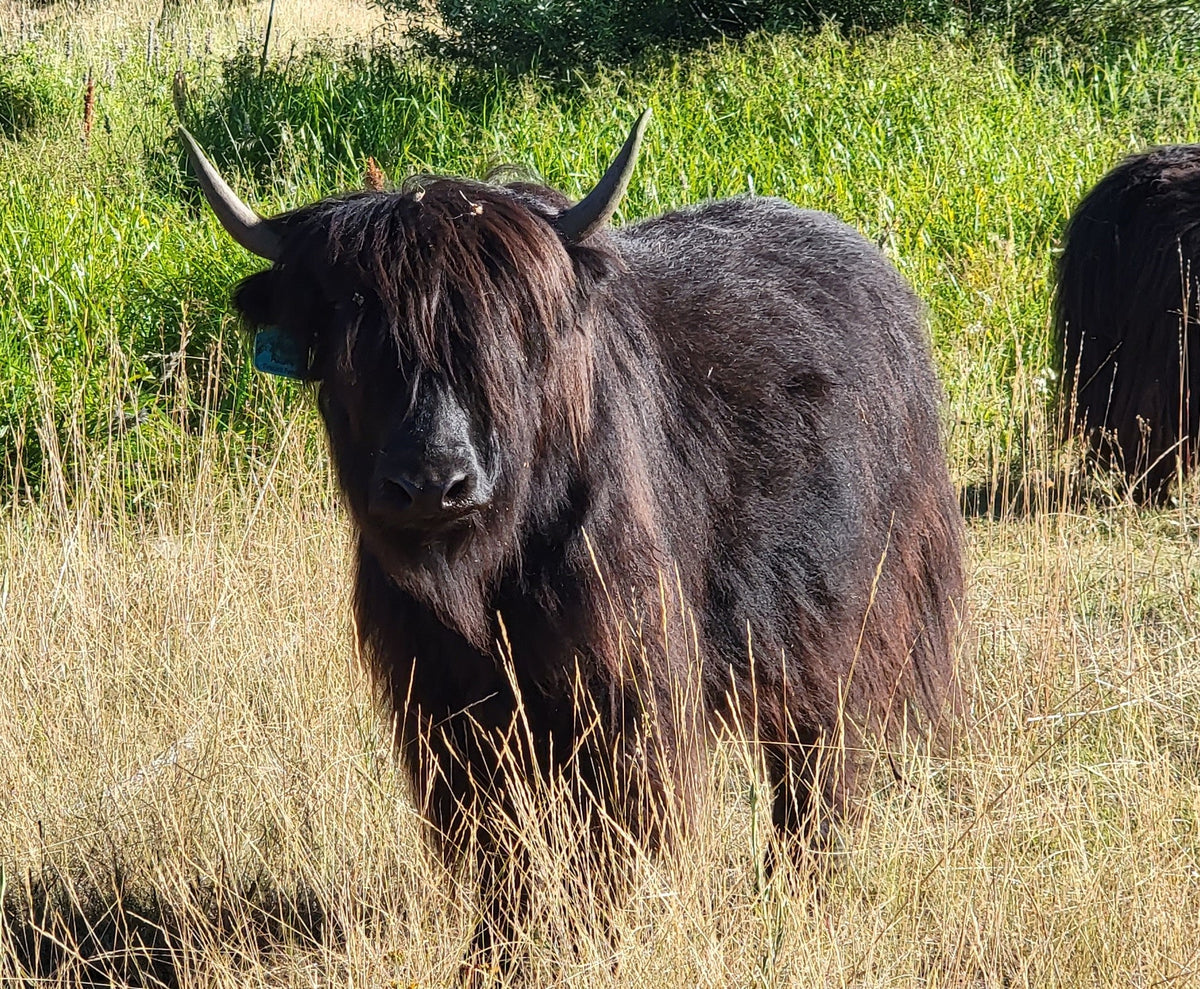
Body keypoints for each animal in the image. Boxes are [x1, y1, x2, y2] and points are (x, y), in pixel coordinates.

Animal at [178, 110, 965, 979]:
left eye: (496, 336)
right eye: (356, 346)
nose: (434, 482)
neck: (489, 575)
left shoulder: (622, 685)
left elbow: (608, 833)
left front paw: (594, 943)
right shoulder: (447, 704)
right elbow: (497, 843)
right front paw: (494, 954)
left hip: (855, 628)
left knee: (820, 772)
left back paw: (793, 899)